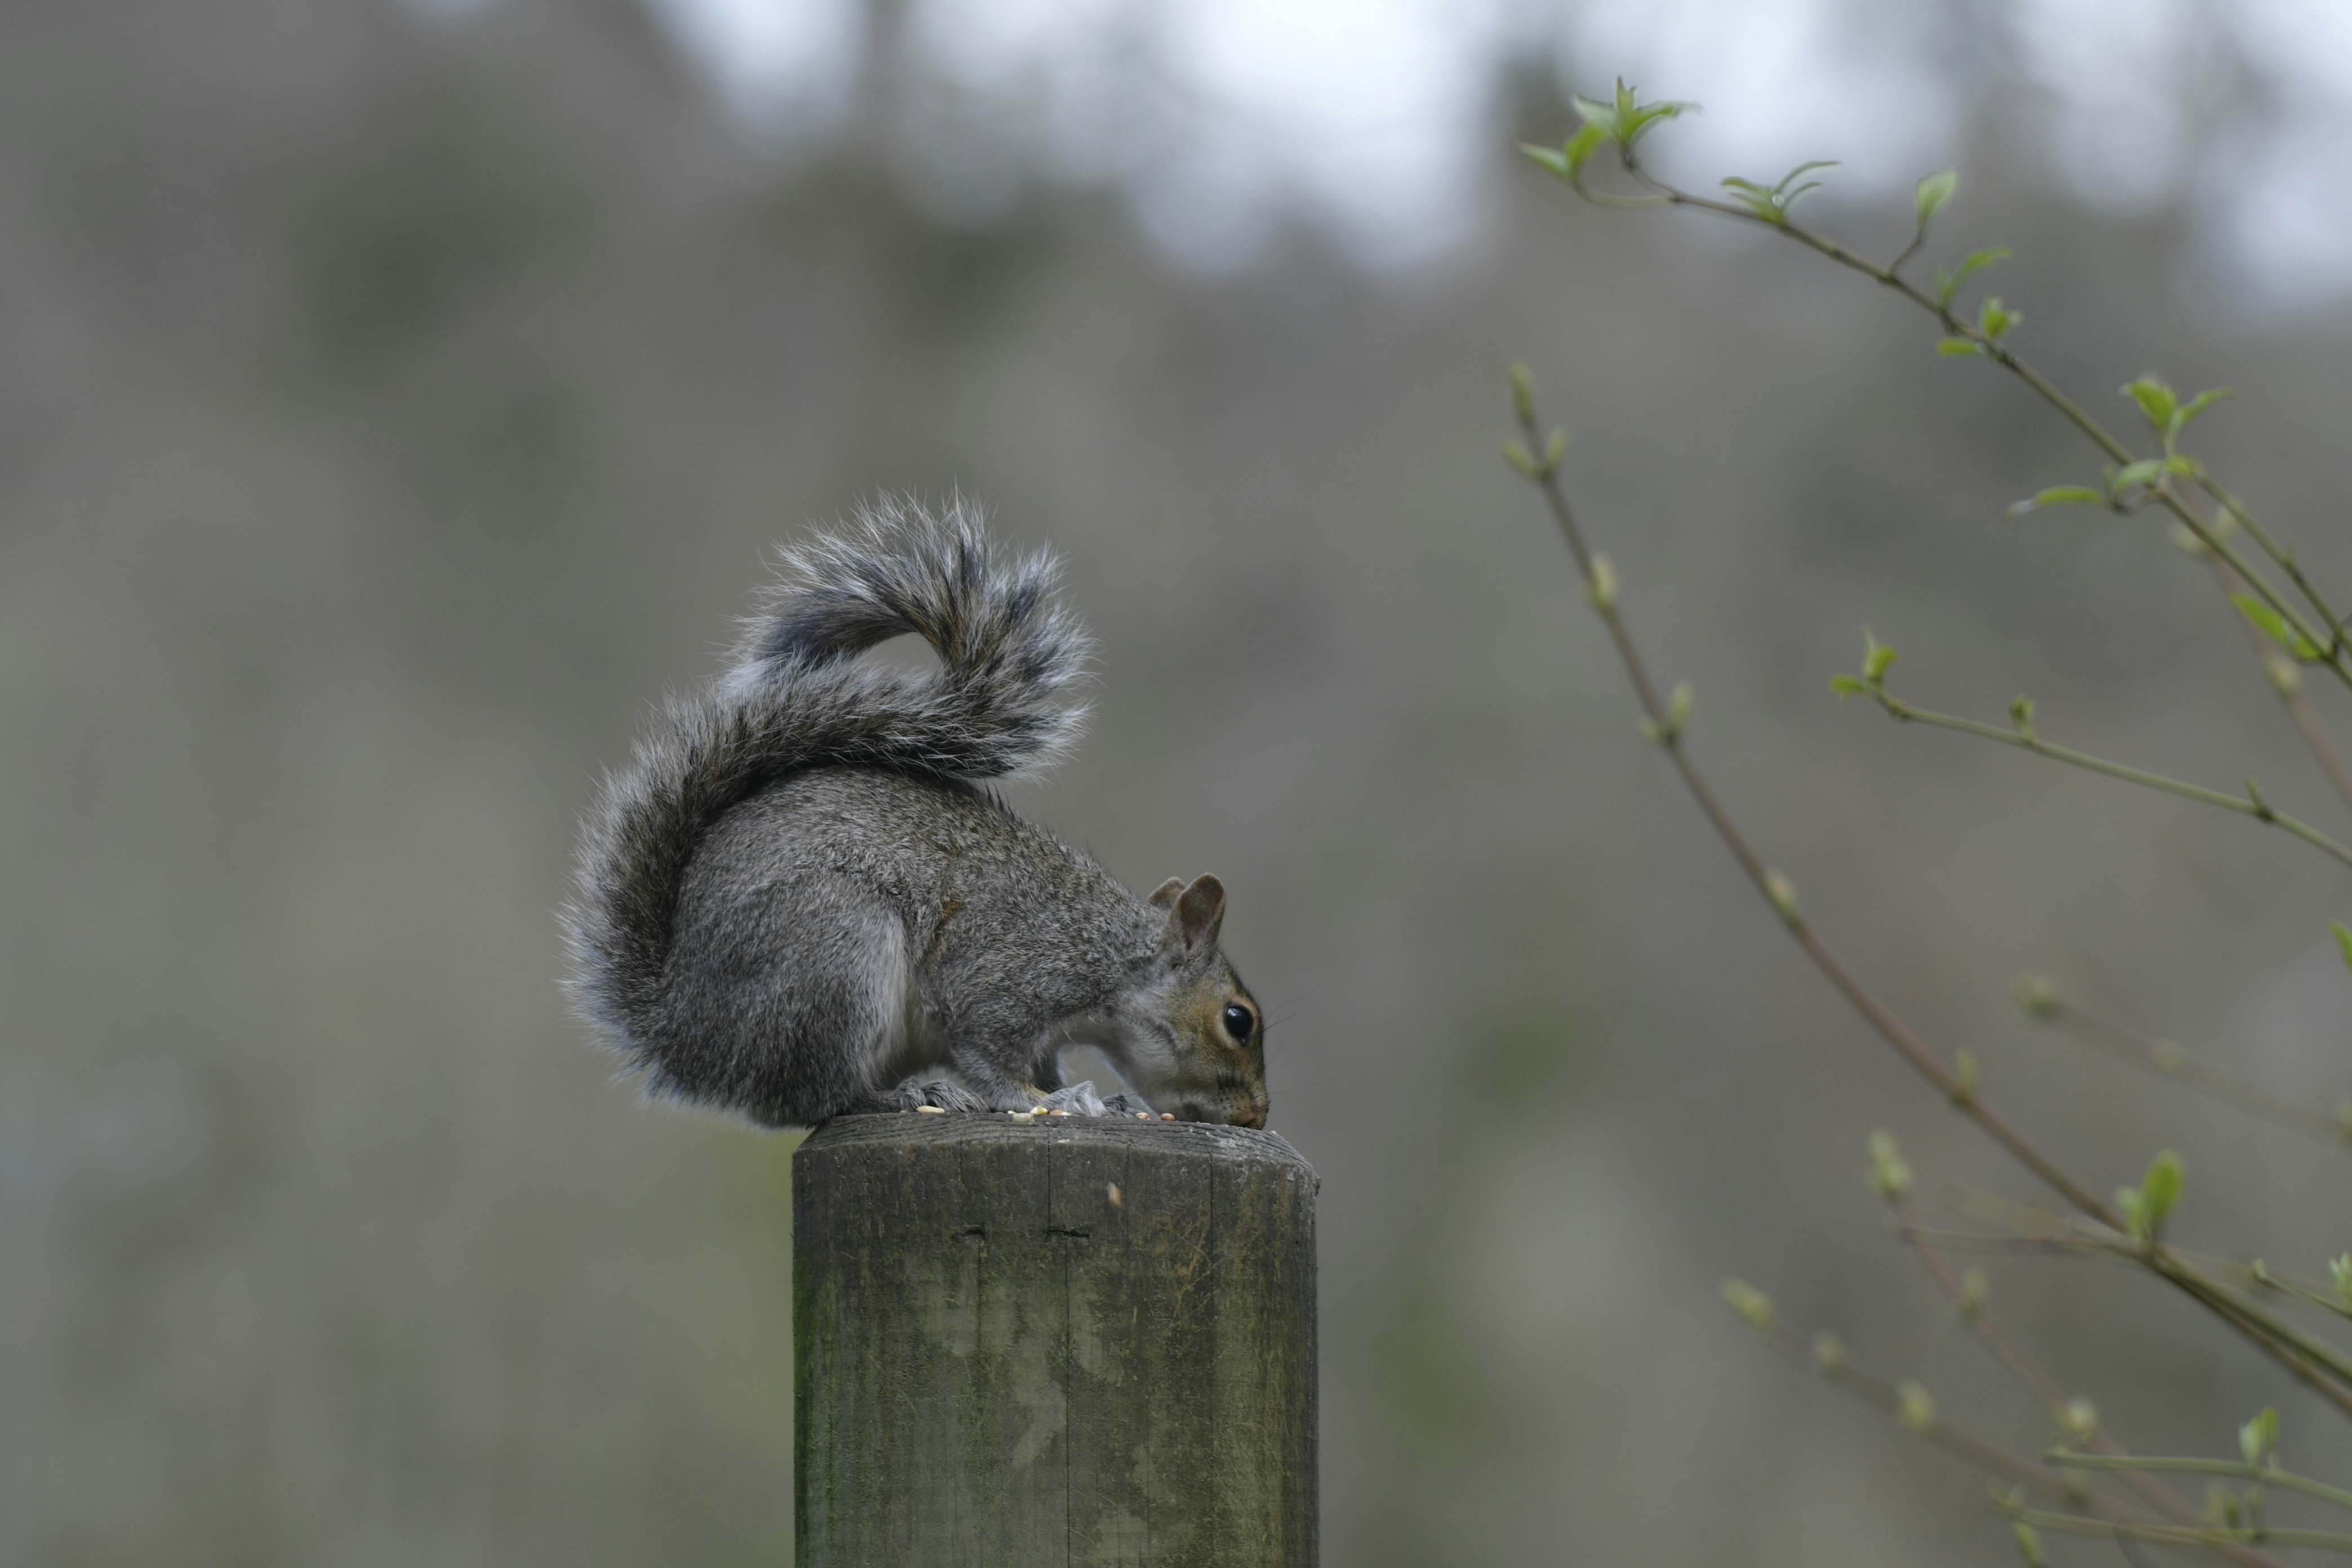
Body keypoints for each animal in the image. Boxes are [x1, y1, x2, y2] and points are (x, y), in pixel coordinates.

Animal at [562, 495, 1270, 1130]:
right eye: (1238, 1021)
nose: (1257, 1117)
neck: (1110, 958)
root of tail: (685, 1033)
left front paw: (1108, 1100)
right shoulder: (1005, 979)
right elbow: (989, 1058)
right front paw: (1052, 1101)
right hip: (837, 956)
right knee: (812, 1098)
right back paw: (902, 1096)